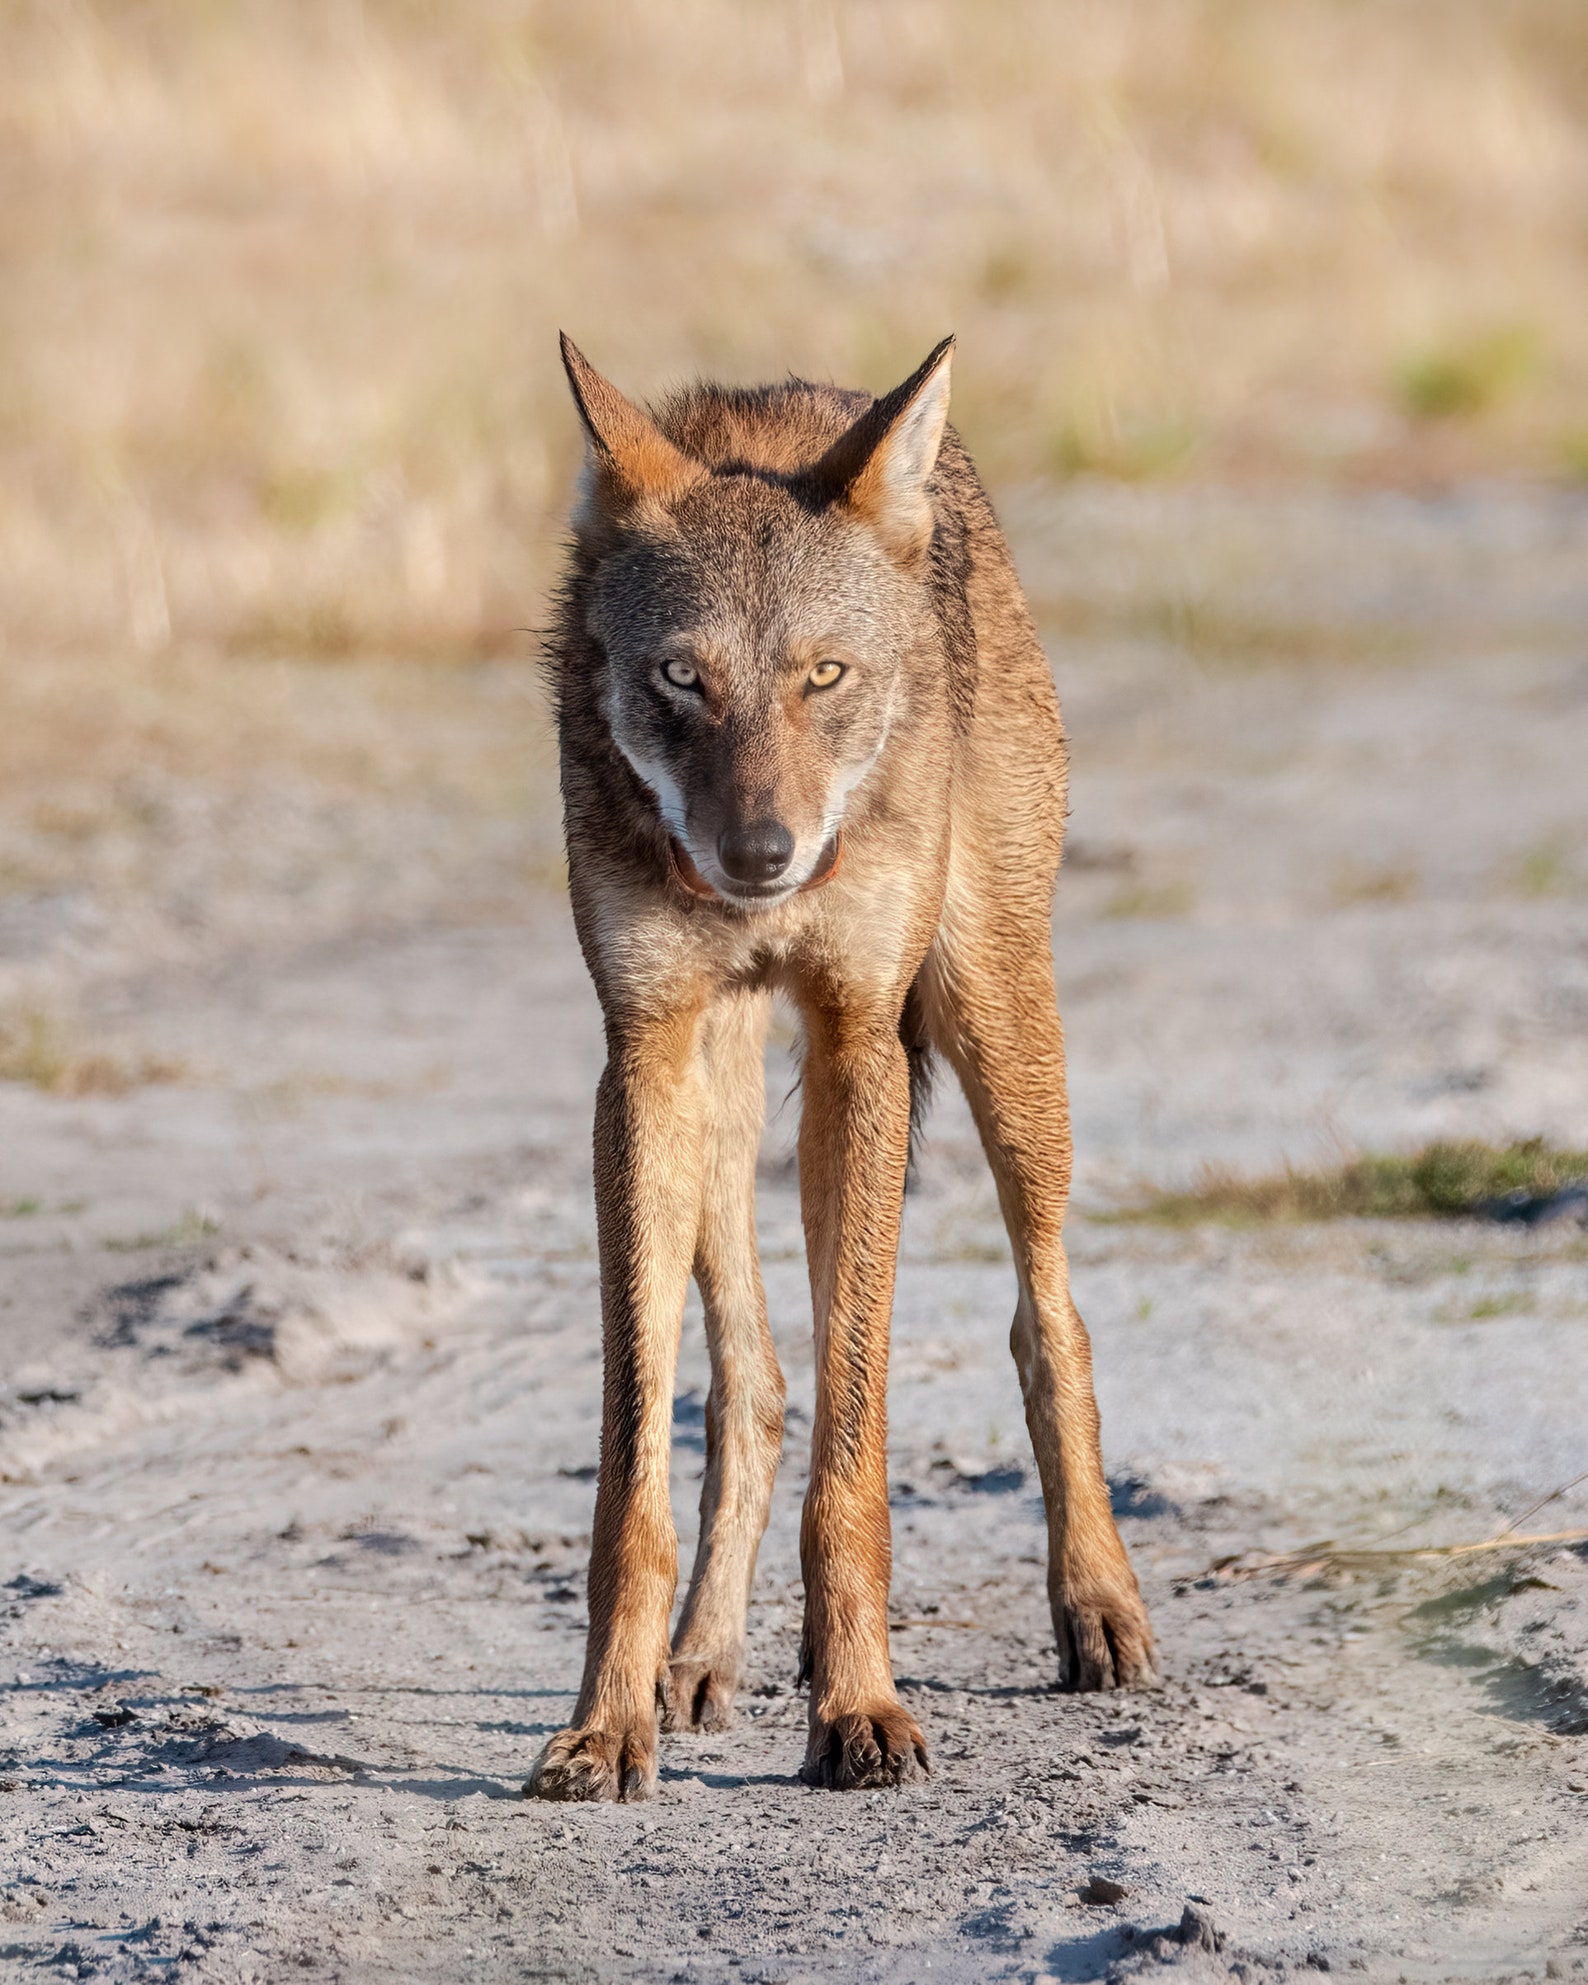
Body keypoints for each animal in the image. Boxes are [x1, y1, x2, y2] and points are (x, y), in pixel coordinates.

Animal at [527, 335, 1158, 1802]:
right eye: (681, 678)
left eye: (823, 675)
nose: (762, 855)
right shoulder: (640, 1051)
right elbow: (638, 1465)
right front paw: (608, 1724)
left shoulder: (859, 1038)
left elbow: (856, 1457)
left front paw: (860, 1708)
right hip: (715, 1087)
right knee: (749, 1385)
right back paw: (701, 1660)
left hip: (997, 1026)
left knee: (1049, 1316)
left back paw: (1099, 1605)